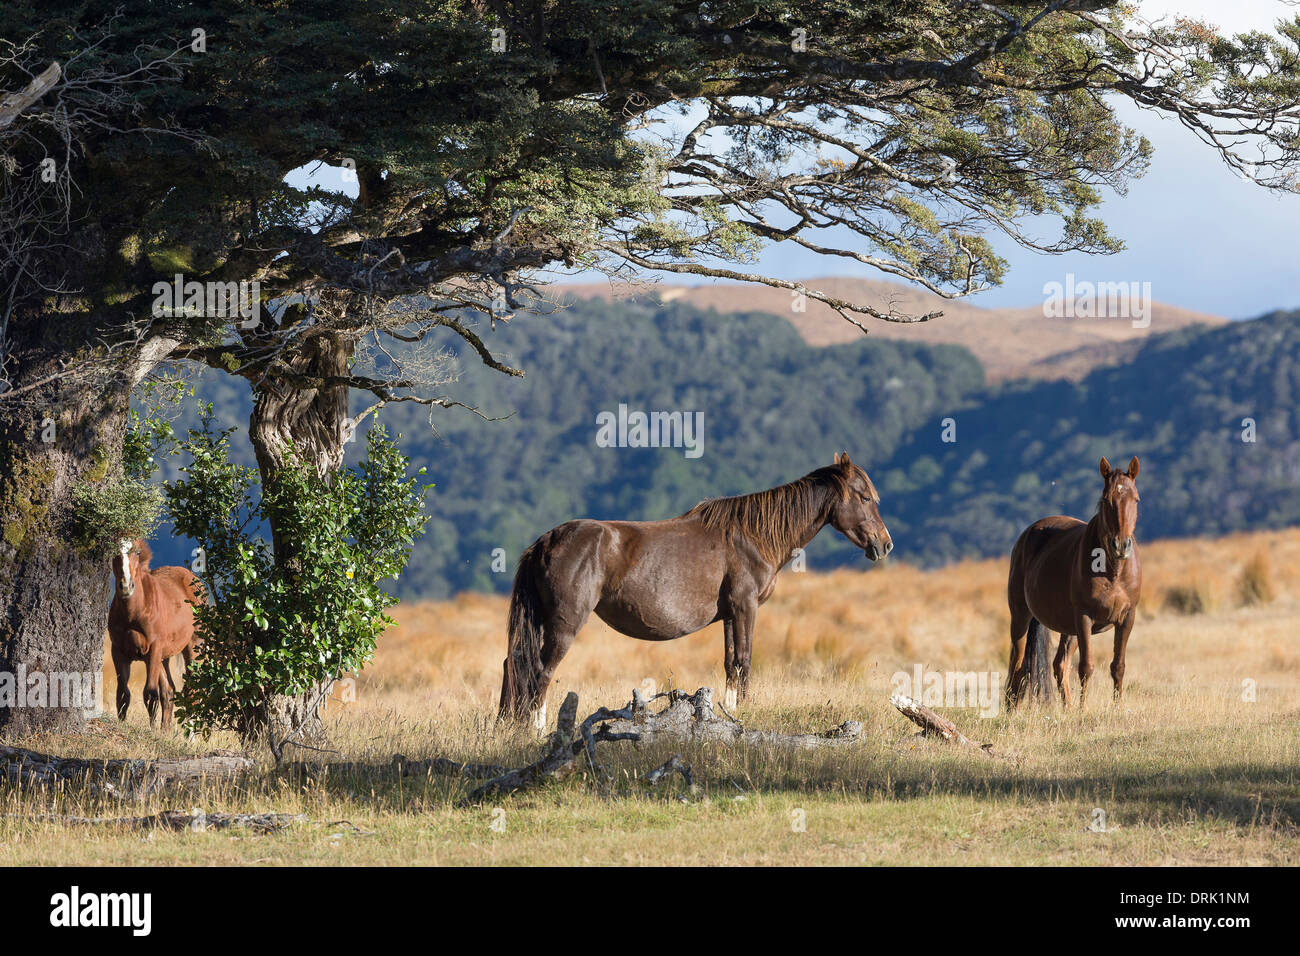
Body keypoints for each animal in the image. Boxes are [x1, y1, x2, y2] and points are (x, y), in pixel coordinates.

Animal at [107, 538, 204, 729]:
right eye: (114, 551)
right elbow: (122, 694)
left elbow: (150, 694)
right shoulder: (118, 652)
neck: (133, 613)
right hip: (163, 658)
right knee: (169, 691)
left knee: (191, 691)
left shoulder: (153, 650)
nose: (126, 586)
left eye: (137, 552)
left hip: (192, 648)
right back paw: (165, 730)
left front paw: (152, 732)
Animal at [498, 452, 893, 725]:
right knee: (540, 672)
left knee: (514, 664)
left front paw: (729, 711)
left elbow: (731, 664)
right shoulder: (746, 607)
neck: (753, 536)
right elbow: (745, 661)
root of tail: (546, 541)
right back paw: (537, 728)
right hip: (564, 623)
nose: (884, 544)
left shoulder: (731, 614)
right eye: (864, 497)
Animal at [1006, 456, 1142, 709]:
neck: (1113, 572)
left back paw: (1067, 708)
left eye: (1135, 499)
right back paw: (1012, 710)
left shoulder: (1127, 618)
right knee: (1017, 665)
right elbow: (1086, 667)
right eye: (1107, 499)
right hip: (1020, 616)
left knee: (1059, 665)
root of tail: (1029, 533)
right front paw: (1083, 710)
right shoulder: (1085, 617)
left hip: (1068, 628)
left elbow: (1118, 666)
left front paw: (1117, 709)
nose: (1121, 545)